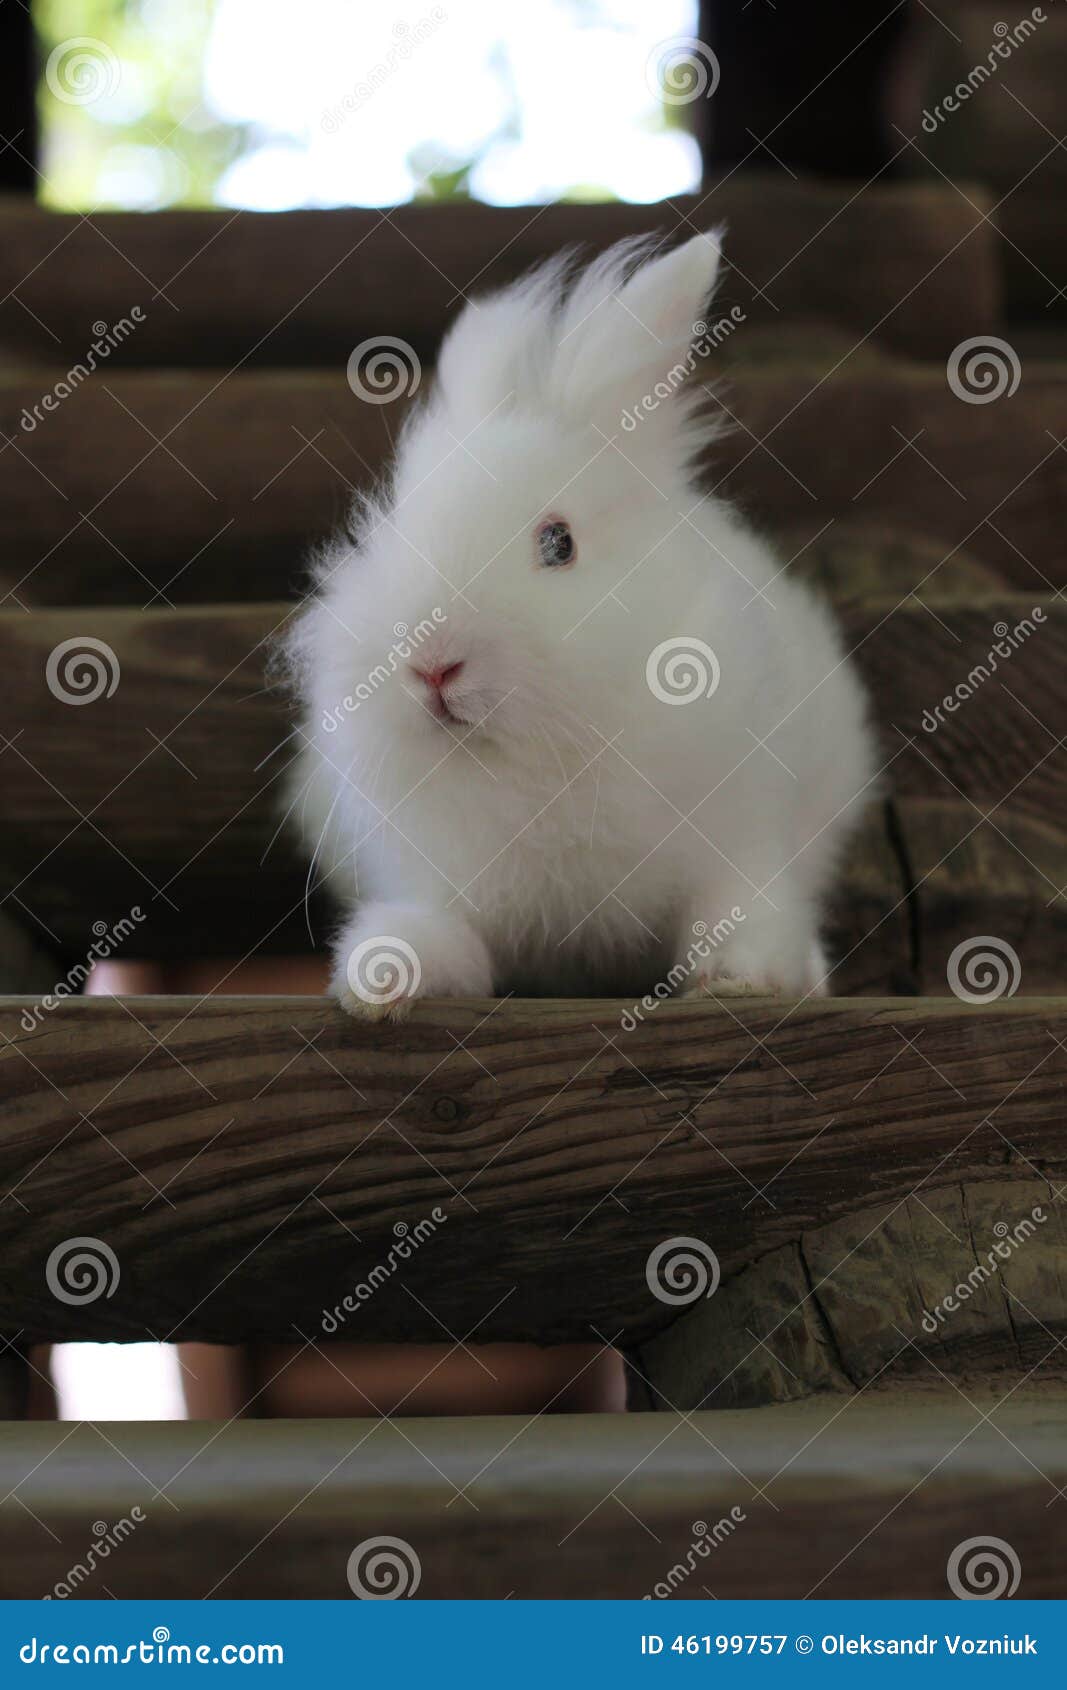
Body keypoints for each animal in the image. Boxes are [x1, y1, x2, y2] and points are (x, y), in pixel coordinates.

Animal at [282, 230, 878, 1020]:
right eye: (393, 527)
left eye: (558, 543)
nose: (433, 665)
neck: (544, 761)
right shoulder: (434, 882)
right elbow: (438, 934)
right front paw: (379, 981)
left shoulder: (741, 836)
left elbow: (737, 911)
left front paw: (749, 975)